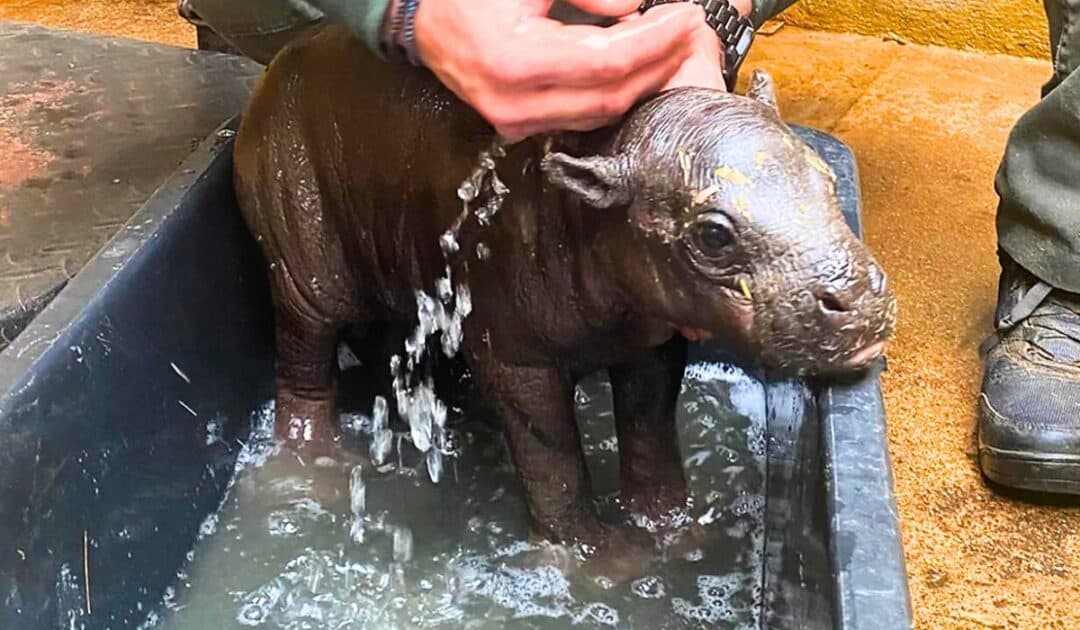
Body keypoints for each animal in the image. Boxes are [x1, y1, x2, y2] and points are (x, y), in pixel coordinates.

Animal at [232, 24, 896, 576]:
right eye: (712, 234)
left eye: (824, 177)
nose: (854, 290)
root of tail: (274, 71)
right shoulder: (516, 355)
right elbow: (551, 452)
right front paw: (606, 564)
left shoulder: (650, 337)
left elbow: (650, 429)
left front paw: (676, 535)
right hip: (303, 258)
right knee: (303, 357)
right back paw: (312, 473)